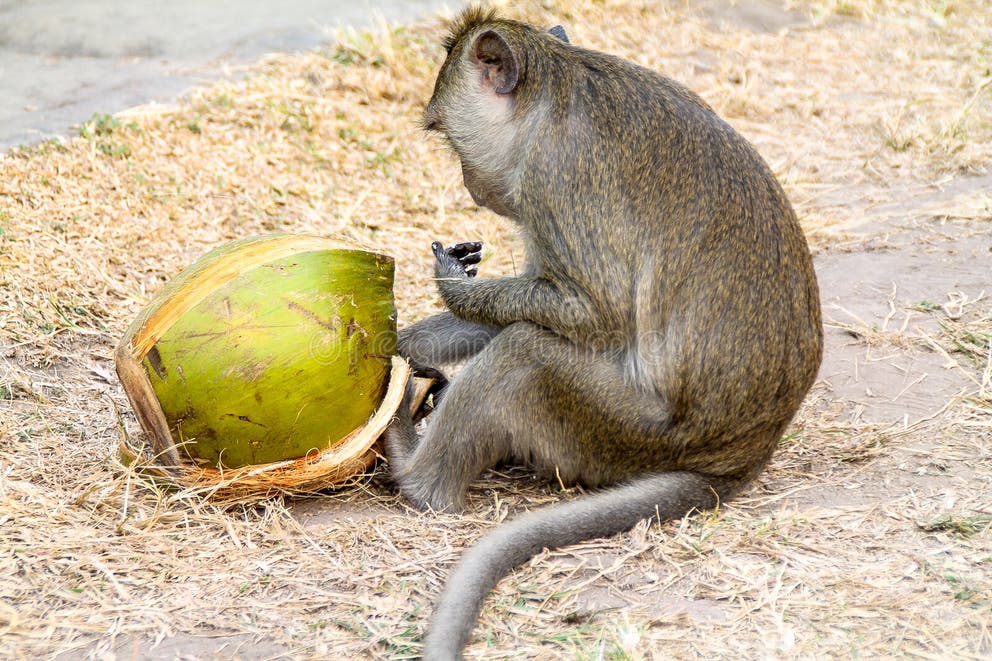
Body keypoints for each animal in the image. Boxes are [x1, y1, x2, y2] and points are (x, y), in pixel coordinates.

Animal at [383, 7, 823, 660]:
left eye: (445, 135)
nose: (467, 183)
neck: (552, 92)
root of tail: (738, 458)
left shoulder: (555, 176)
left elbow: (597, 312)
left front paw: (453, 288)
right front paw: (394, 344)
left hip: (625, 433)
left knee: (525, 354)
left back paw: (413, 468)